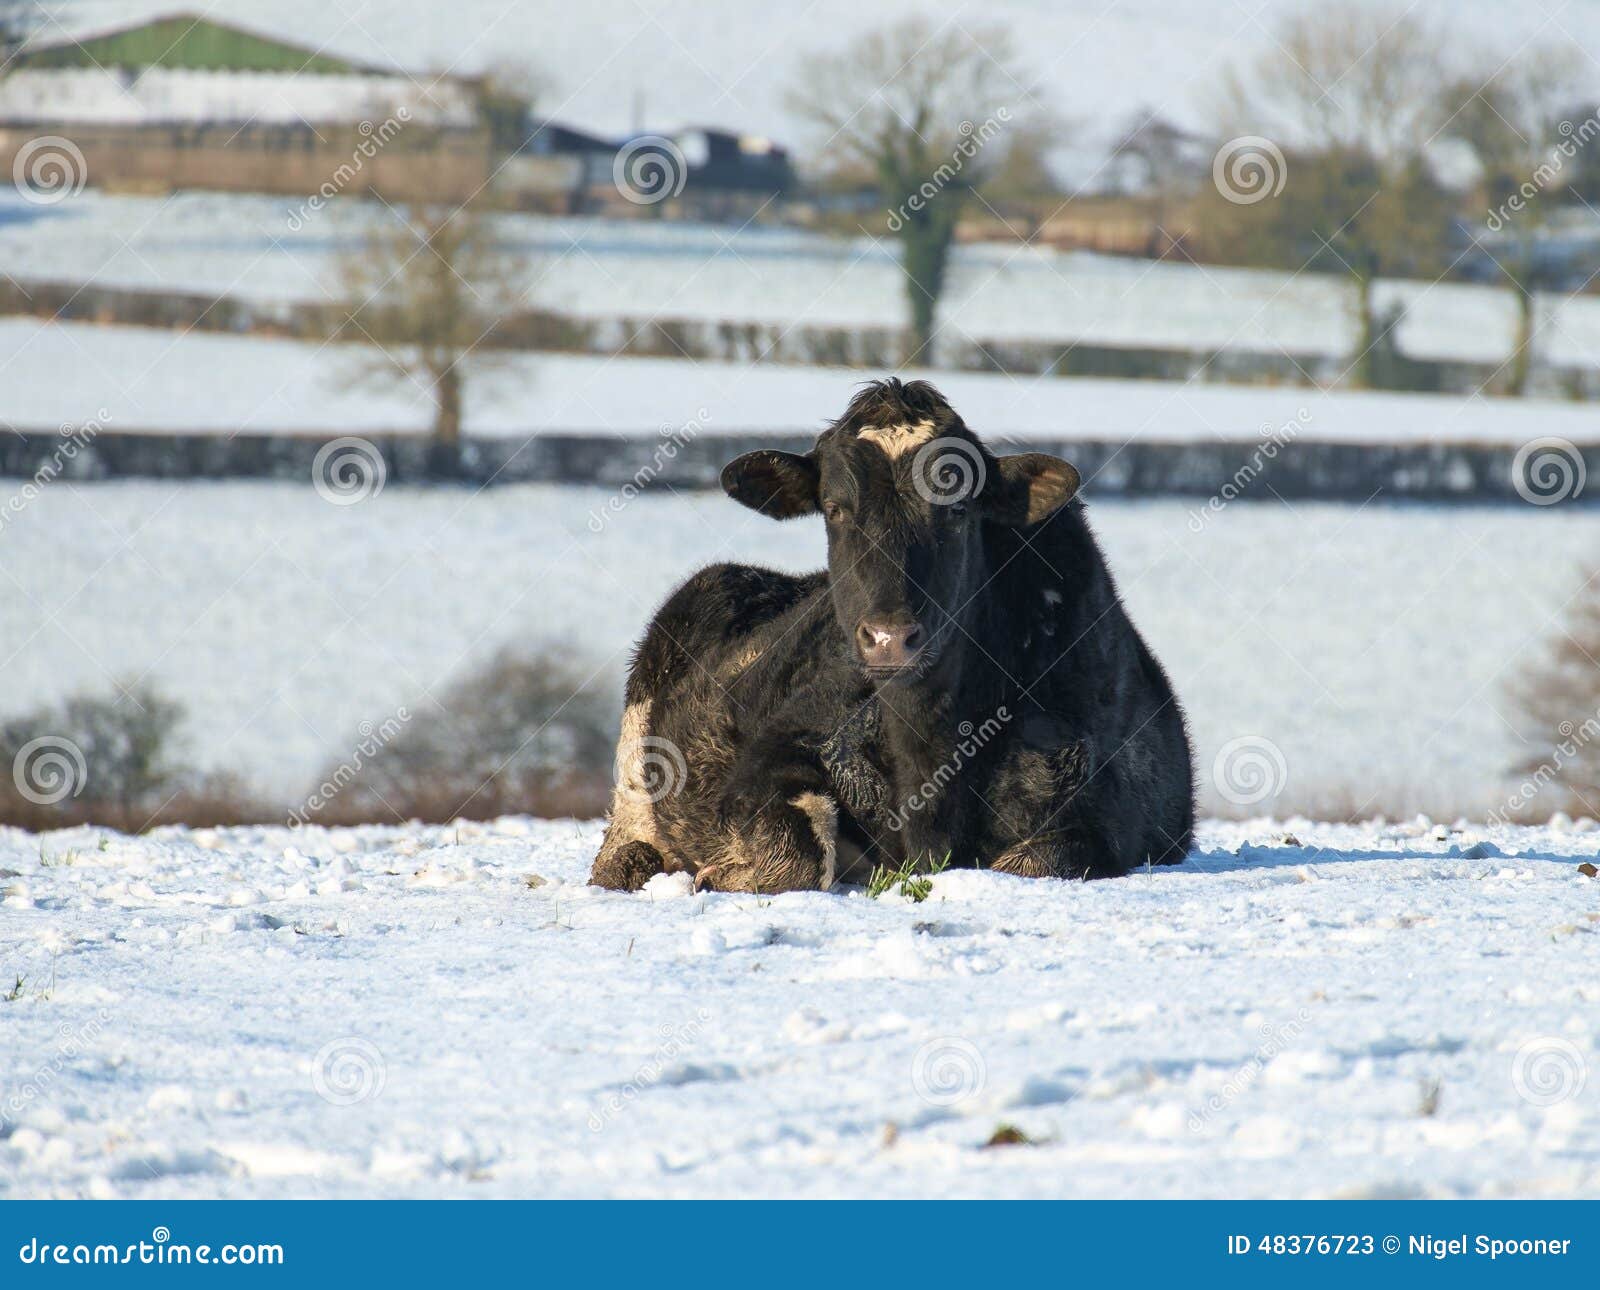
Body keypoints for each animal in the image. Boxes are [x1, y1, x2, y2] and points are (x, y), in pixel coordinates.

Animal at [588, 378, 1193, 893]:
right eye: (834, 509)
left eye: (958, 509)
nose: (889, 638)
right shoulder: (766, 759)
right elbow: (799, 854)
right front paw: (725, 873)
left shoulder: (1108, 816)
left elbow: (1036, 860)